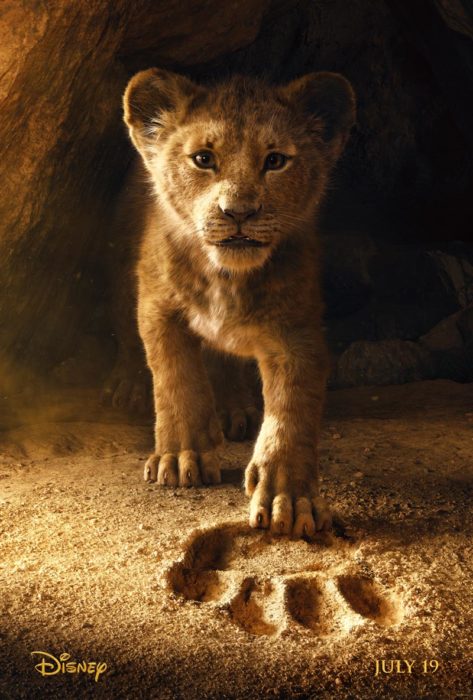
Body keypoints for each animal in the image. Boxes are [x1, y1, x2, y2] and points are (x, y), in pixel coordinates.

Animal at [120, 68, 355, 537]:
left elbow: (291, 411)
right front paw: (182, 456)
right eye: (203, 158)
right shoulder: (157, 306)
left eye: (276, 160)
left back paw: (234, 410)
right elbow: (176, 379)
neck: (226, 277)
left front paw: (289, 498)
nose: (239, 212)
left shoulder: (296, 332)